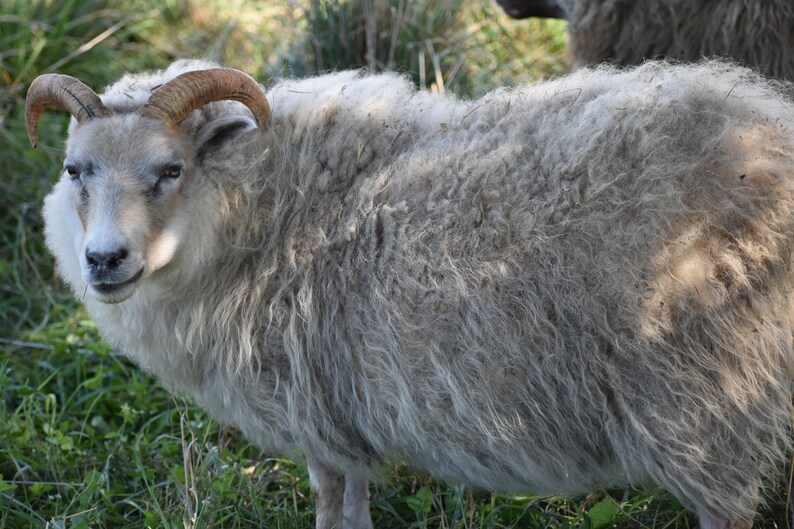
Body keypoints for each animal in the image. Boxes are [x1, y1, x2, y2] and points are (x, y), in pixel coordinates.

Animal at [26, 58, 794, 529]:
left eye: (171, 168)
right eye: (74, 170)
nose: (104, 260)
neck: (270, 207)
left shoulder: (314, 413)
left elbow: (332, 507)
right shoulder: (338, 414)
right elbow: (353, 508)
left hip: (705, 396)